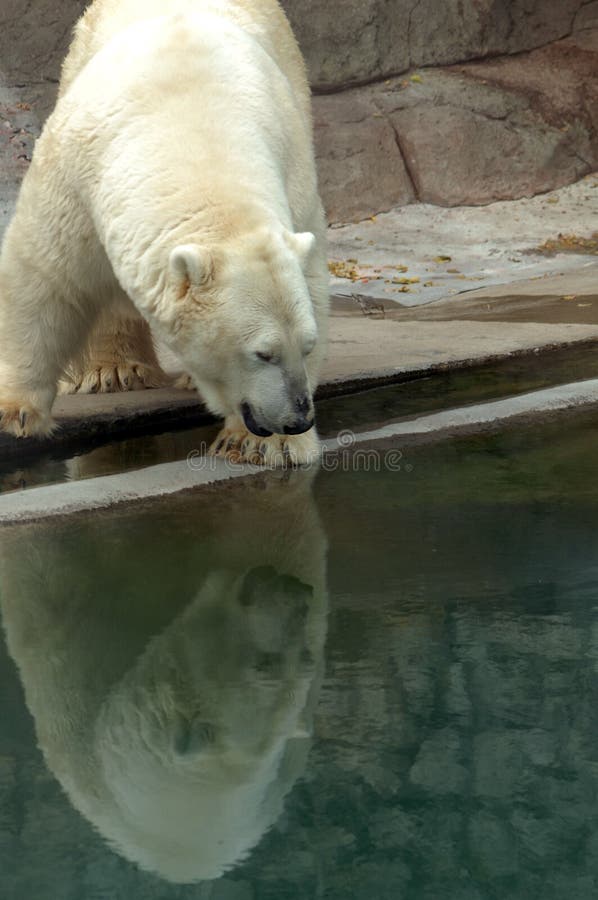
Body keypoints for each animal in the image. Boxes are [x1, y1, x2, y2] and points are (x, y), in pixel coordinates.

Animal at [0, 0, 329, 466]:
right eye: (262, 353)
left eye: (307, 344)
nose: (298, 418)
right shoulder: (78, 177)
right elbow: (43, 275)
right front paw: (17, 413)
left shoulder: (294, 177)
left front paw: (265, 445)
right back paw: (113, 371)